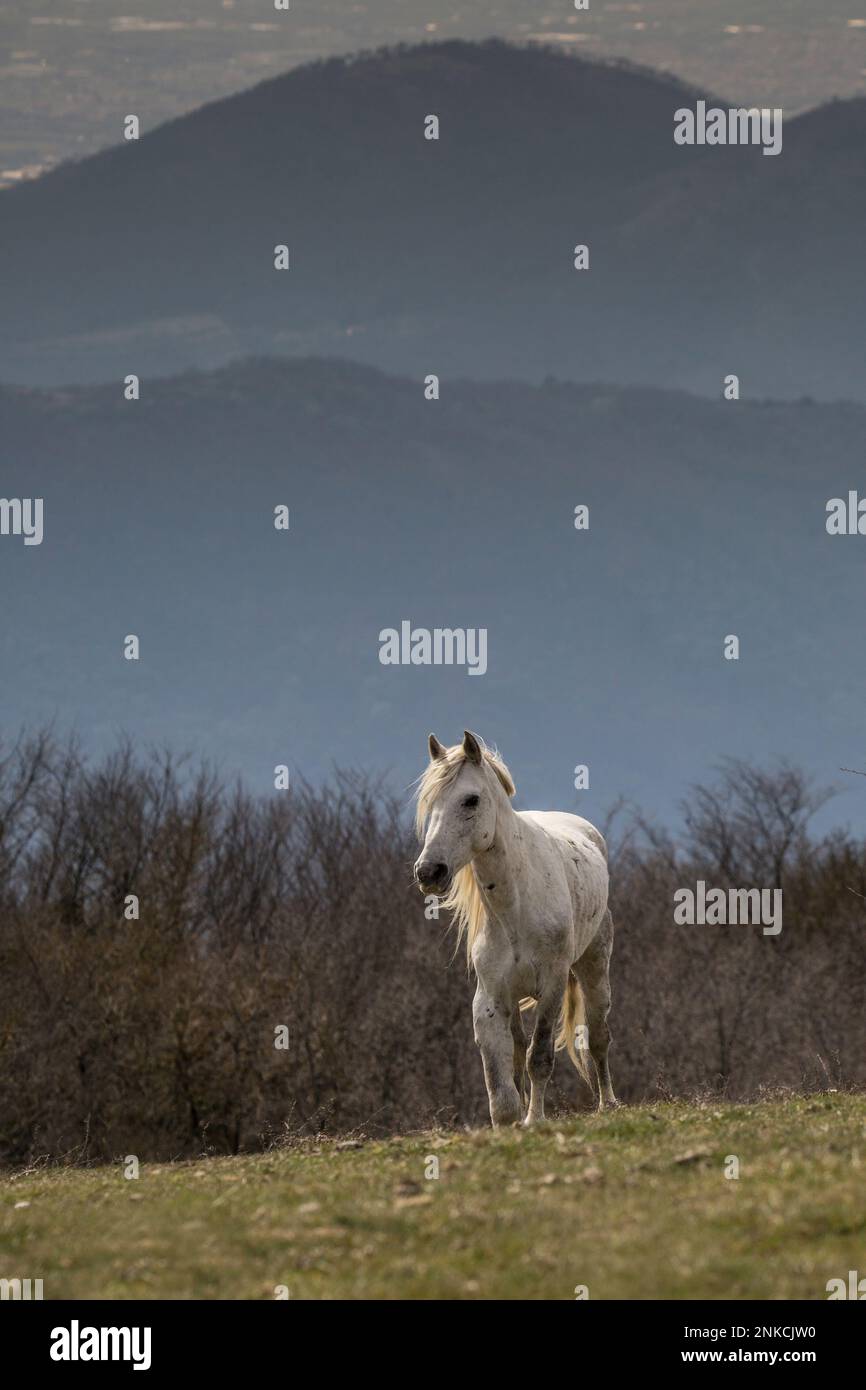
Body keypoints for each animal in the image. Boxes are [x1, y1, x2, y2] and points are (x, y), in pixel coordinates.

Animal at [414, 730, 618, 1128]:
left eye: (471, 800)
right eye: (430, 802)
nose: (429, 872)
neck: (515, 910)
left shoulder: (552, 987)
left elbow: (540, 1059)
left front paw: (534, 1119)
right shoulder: (490, 999)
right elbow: (500, 1080)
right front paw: (512, 1121)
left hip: (594, 970)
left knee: (598, 1036)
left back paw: (609, 1104)